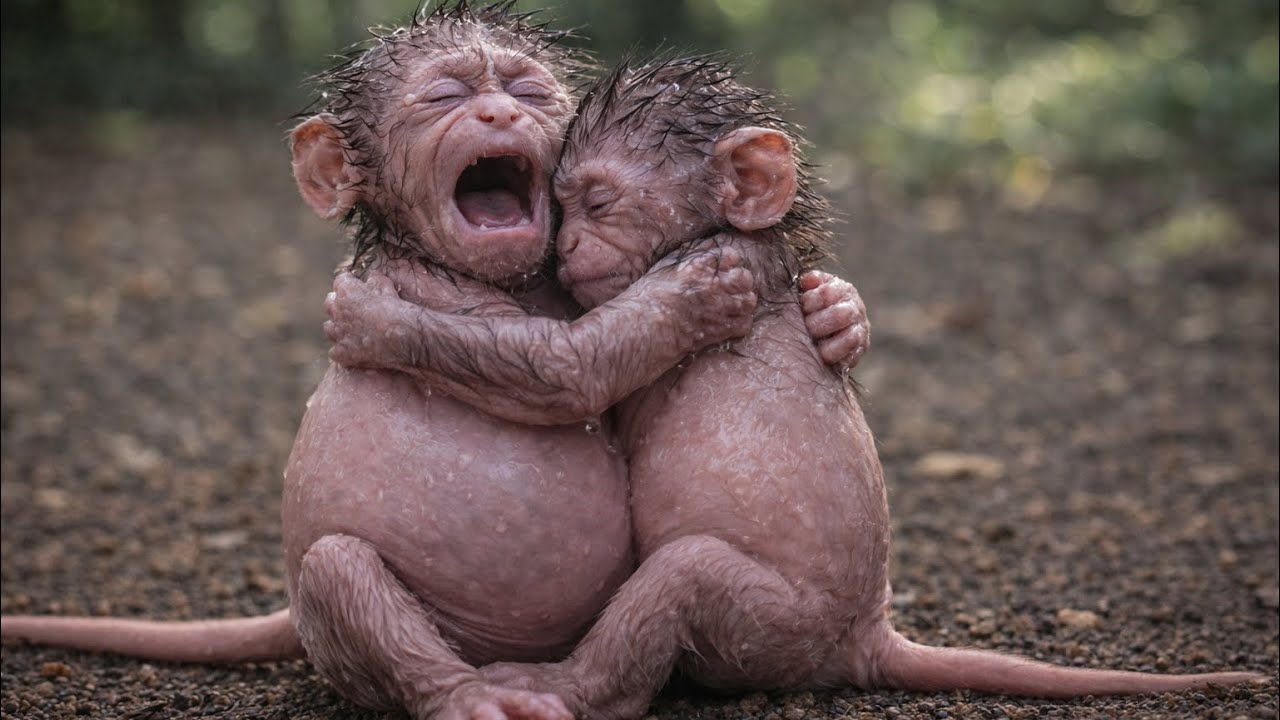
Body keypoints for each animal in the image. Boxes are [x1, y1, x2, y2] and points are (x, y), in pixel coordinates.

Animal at [0, 6, 872, 720]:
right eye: (446, 93)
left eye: (524, 87)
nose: (497, 110)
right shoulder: (425, 281)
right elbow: (561, 368)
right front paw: (697, 300)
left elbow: (570, 363)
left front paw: (833, 312)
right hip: (341, 620)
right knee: (338, 569)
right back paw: (467, 697)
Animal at [317, 54, 1266, 719]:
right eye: (564, 204)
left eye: (599, 202)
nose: (571, 248)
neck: (734, 243)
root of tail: (865, 636)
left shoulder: (712, 261)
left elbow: (568, 373)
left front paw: (372, 323)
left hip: (774, 626)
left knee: (687, 576)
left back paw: (567, 686)